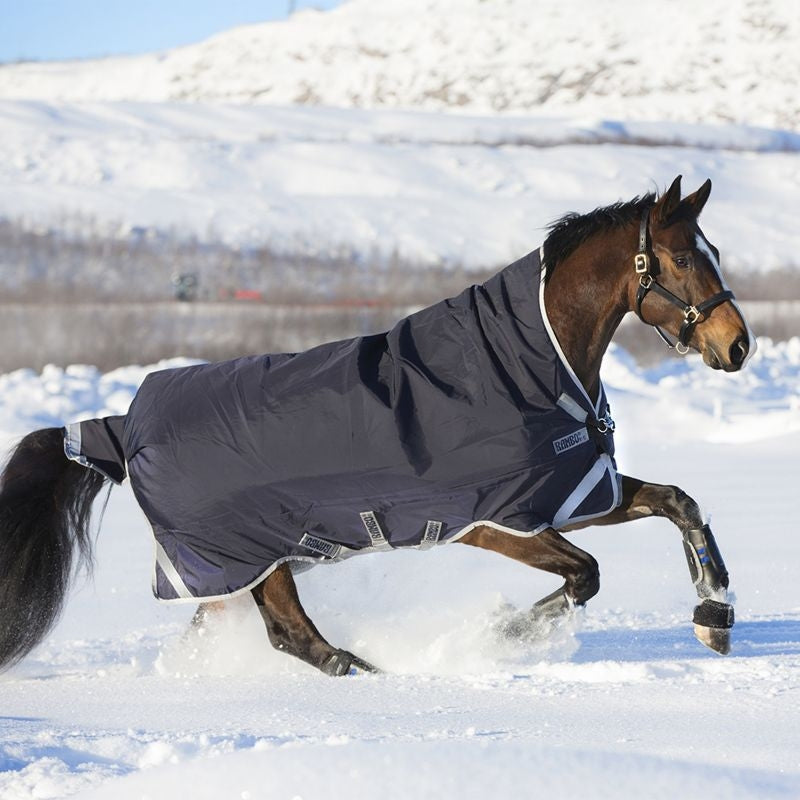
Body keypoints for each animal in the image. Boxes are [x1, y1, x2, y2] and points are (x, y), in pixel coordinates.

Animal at [0, 176, 753, 676]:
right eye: (682, 258)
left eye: (714, 250)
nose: (737, 344)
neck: (524, 363)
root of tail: (122, 425)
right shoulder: (495, 520)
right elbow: (585, 577)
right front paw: (498, 634)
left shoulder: (571, 490)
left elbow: (680, 504)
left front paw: (714, 618)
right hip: (249, 558)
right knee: (296, 639)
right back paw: (376, 672)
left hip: (244, 568)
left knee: (256, 635)